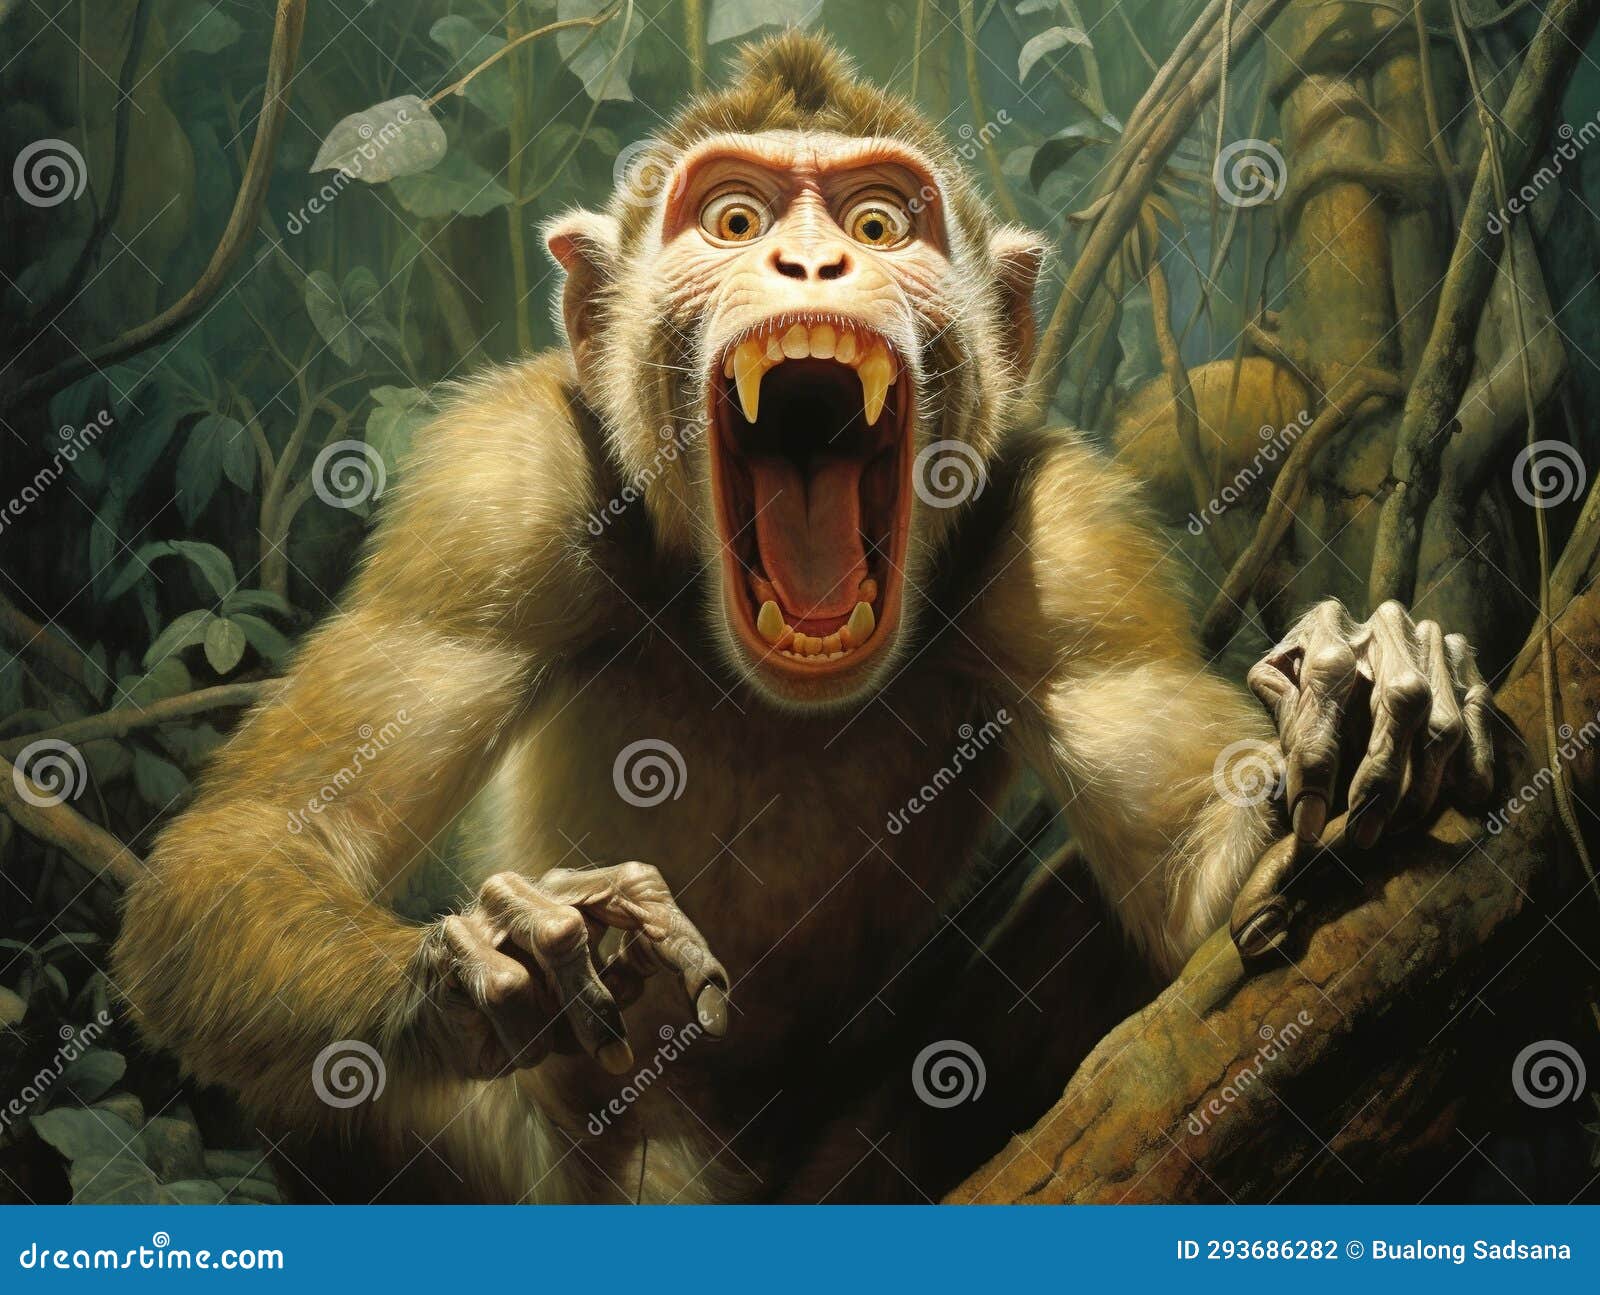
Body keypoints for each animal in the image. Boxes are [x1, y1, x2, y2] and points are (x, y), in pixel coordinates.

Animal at [110, 32, 1496, 1204]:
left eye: (880, 221)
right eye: (734, 218)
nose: (817, 261)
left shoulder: (1065, 538)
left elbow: (1189, 896)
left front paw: (1359, 712)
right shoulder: (495, 492)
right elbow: (258, 841)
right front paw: (478, 970)